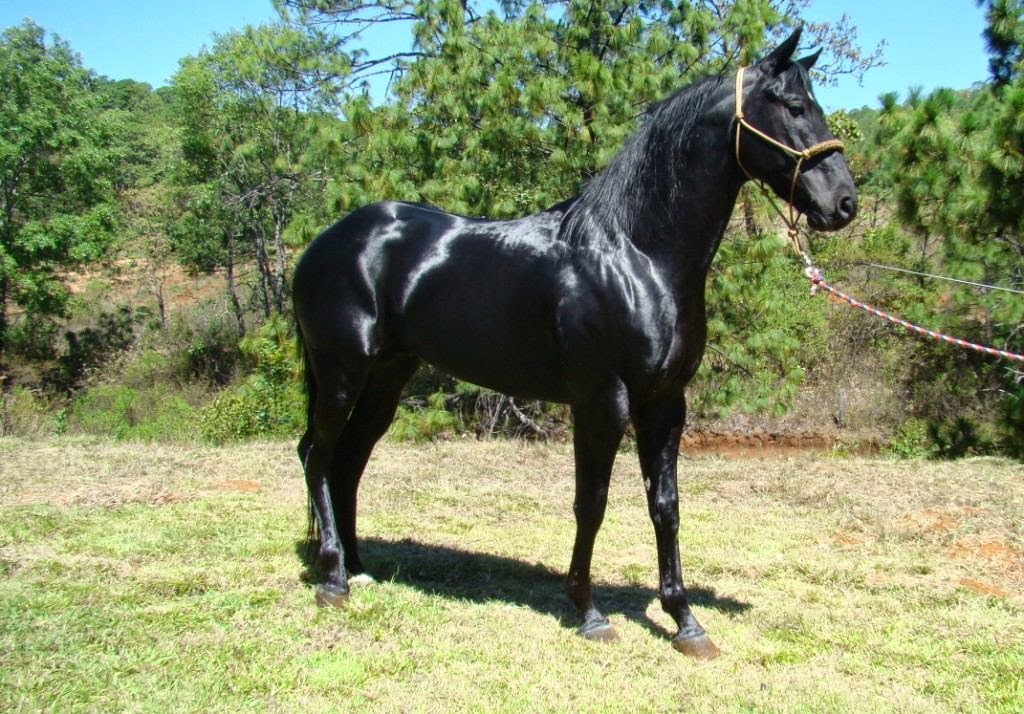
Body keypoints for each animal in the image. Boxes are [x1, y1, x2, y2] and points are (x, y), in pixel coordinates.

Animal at [292, 27, 857, 658]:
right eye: (794, 106)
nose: (844, 203)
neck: (635, 254)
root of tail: (326, 242)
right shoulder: (600, 401)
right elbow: (593, 503)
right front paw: (589, 612)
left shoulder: (666, 404)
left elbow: (666, 507)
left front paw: (685, 622)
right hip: (341, 374)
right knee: (317, 456)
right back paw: (333, 578)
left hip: (387, 377)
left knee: (348, 462)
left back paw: (358, 568)